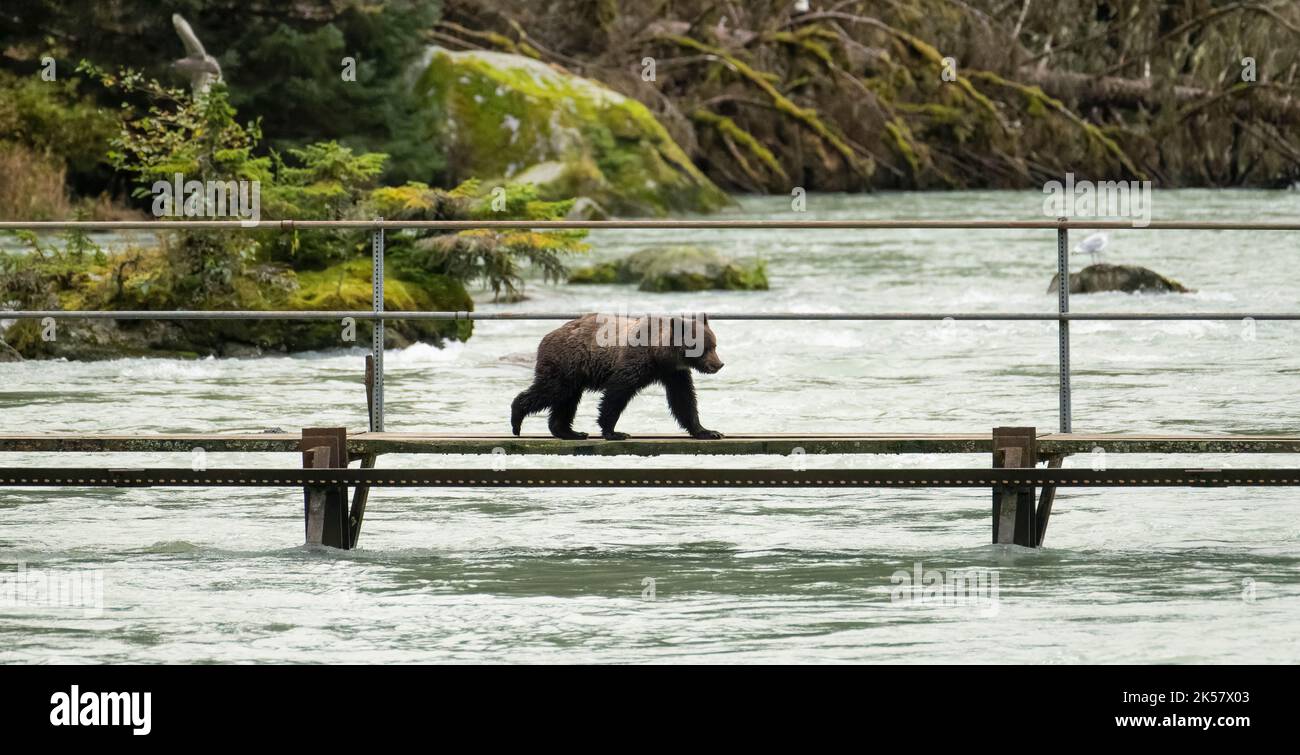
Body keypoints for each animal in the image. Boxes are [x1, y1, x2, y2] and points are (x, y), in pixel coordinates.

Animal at [511, 313, 724, 440]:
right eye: (704, 348)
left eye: (714, 345)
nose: (718, 364)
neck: (660, 355)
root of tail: (547, 336)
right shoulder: (635, 361)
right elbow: (617, 392)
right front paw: (614, 432)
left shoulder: (674, 373)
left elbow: (684, 400)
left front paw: (708, 431)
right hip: (566, 361)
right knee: (552, 390)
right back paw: (517, 420)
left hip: (574, 373)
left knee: (567, 400)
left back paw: (570, 431)